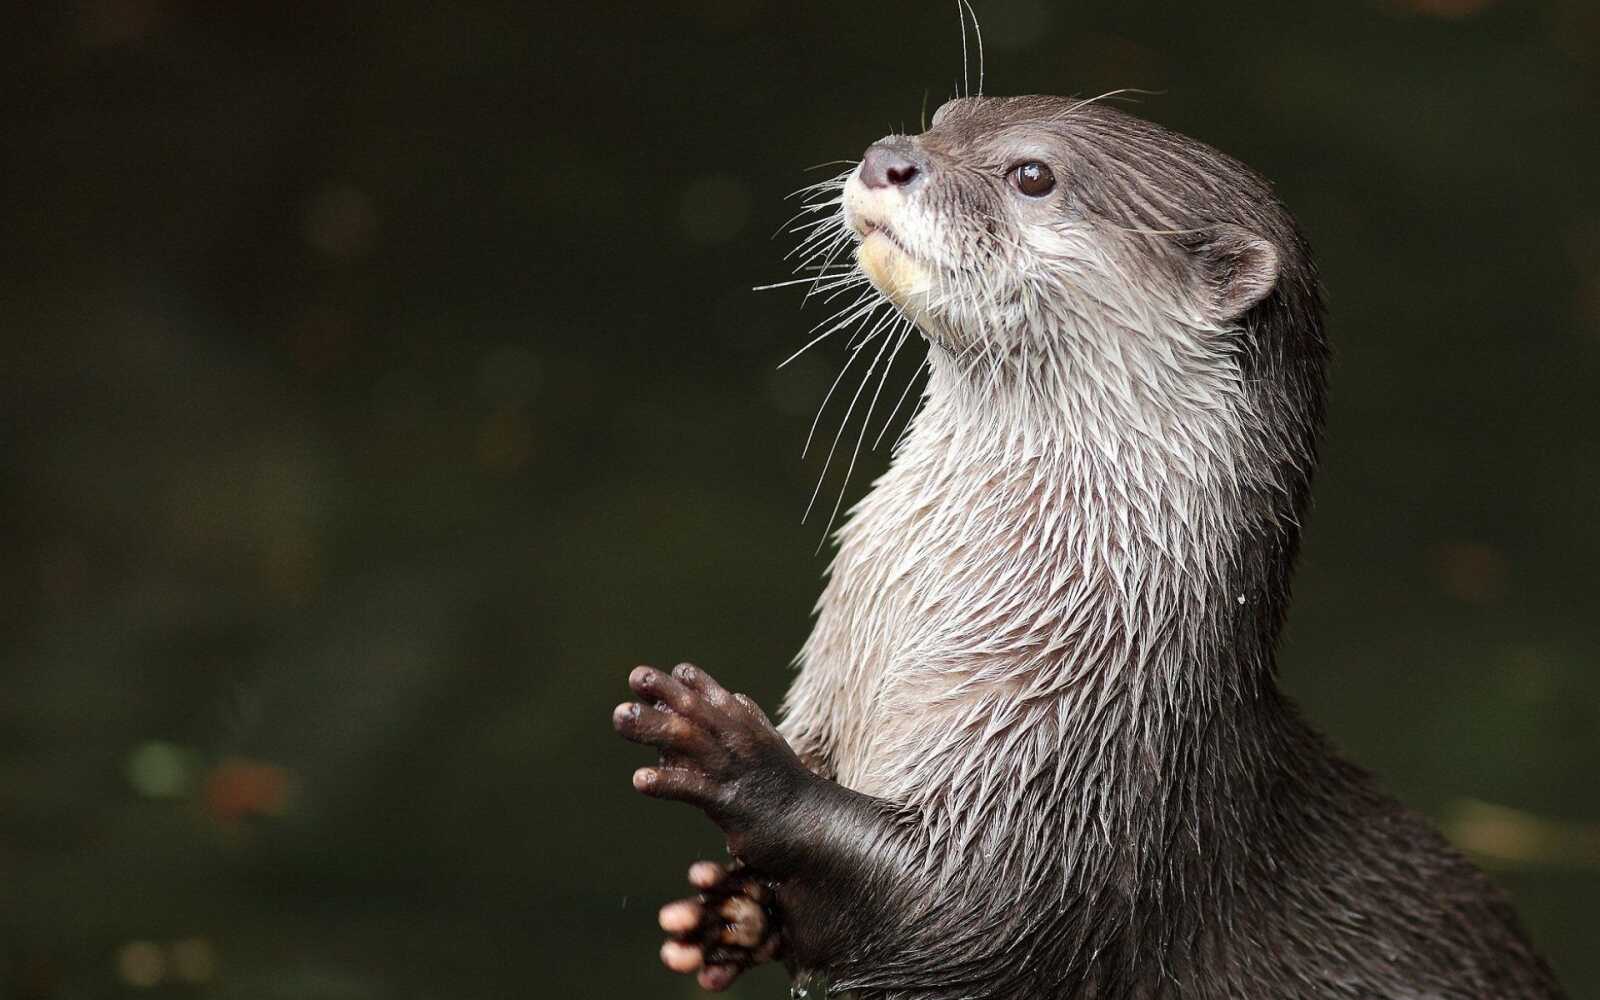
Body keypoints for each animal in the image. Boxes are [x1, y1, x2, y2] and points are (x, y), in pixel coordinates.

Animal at [612, 95, 1566, 998]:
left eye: (1032, 175)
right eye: (946, 116)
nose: (889, 157)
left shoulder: (1079, 792)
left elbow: (961, 913)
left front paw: (732, 754)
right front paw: (724, 914)